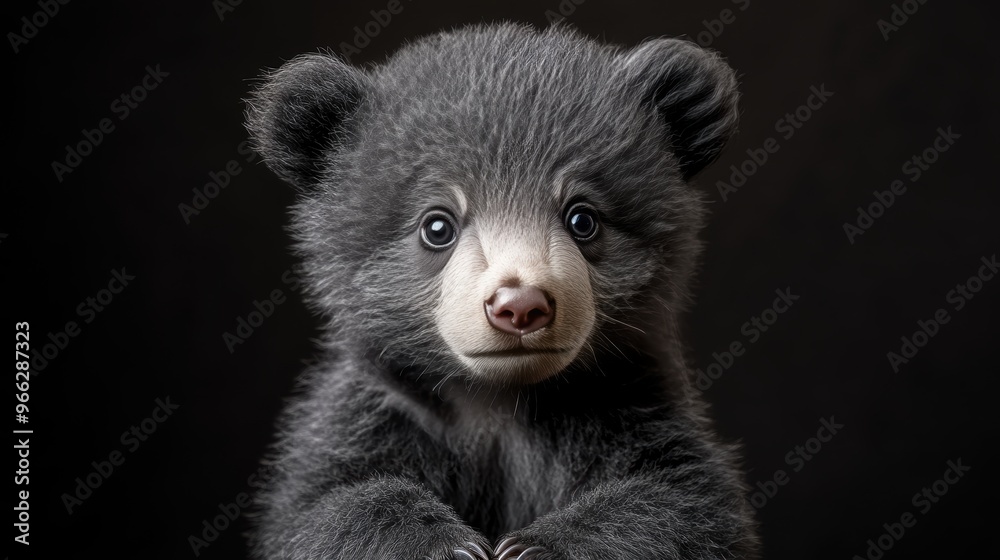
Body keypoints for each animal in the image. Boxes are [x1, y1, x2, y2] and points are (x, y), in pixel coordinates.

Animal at [245, 23, 757, 560]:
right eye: (437, 226)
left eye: (583, 219)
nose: (520, 305)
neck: (502, 404)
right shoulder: (376, 420)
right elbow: (324, 510)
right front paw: (446, 544)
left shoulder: (629, 408)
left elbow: (682, 502)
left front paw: (536, 546)